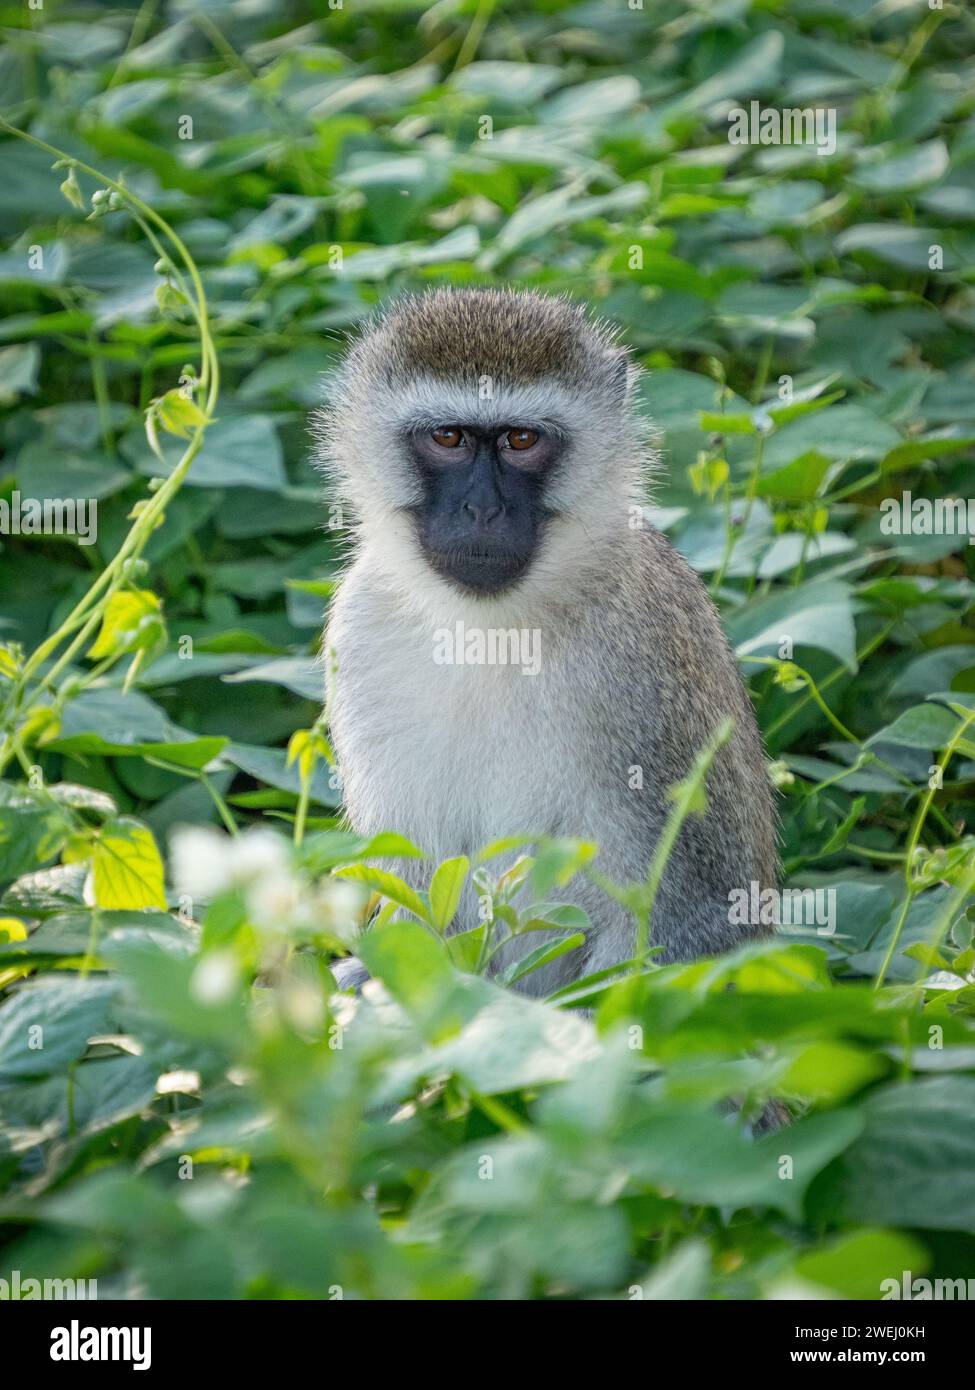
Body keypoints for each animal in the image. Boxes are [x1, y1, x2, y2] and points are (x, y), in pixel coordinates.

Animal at [314, 287, 778, 998]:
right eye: (448, 437)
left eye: (521, 439)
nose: (481, 510)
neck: (487, 631)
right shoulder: (361, 624)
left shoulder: (648, 664)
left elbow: (704, 917)